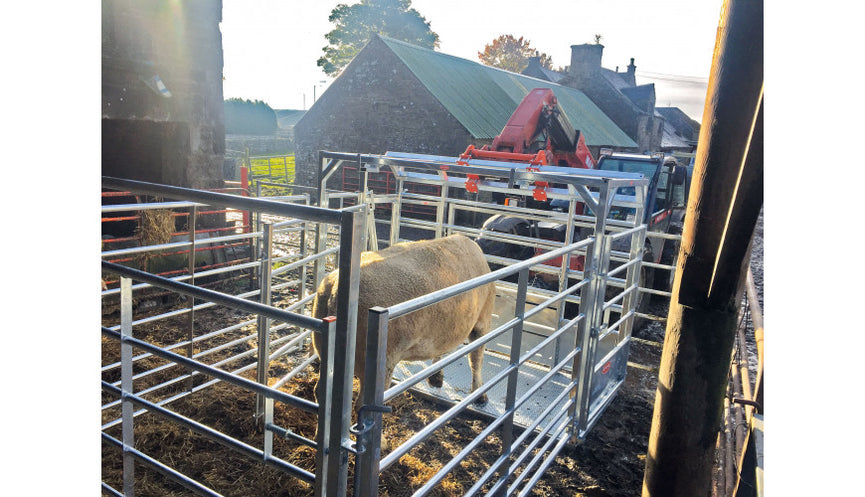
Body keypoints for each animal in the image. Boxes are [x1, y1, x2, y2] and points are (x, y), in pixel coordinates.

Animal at [311, 234, 496, 411]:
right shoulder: (483, 319)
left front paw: (436, 378)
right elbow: (476, 358)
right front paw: (480, 396)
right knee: (362, 404)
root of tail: (335, 290)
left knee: (321, 390)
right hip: (378, 362)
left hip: (324, 348)